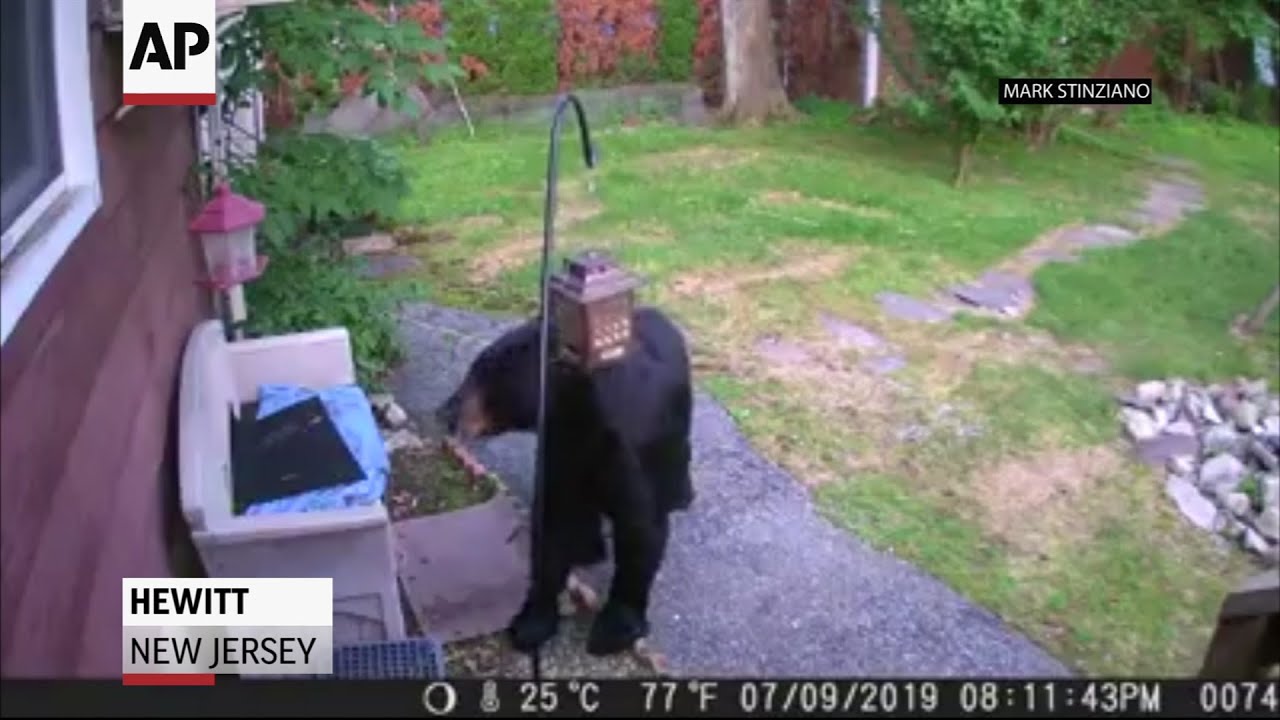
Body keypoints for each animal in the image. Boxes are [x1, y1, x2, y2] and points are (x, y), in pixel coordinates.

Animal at [436, 305, 694, 656]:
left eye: (484, 374)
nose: (445, 412)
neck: (581, 415)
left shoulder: (631, 452)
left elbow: (641, 530)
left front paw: (615, 628)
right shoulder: (561, 451)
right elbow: (554, 521)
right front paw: (533, 621)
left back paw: (681, 495)